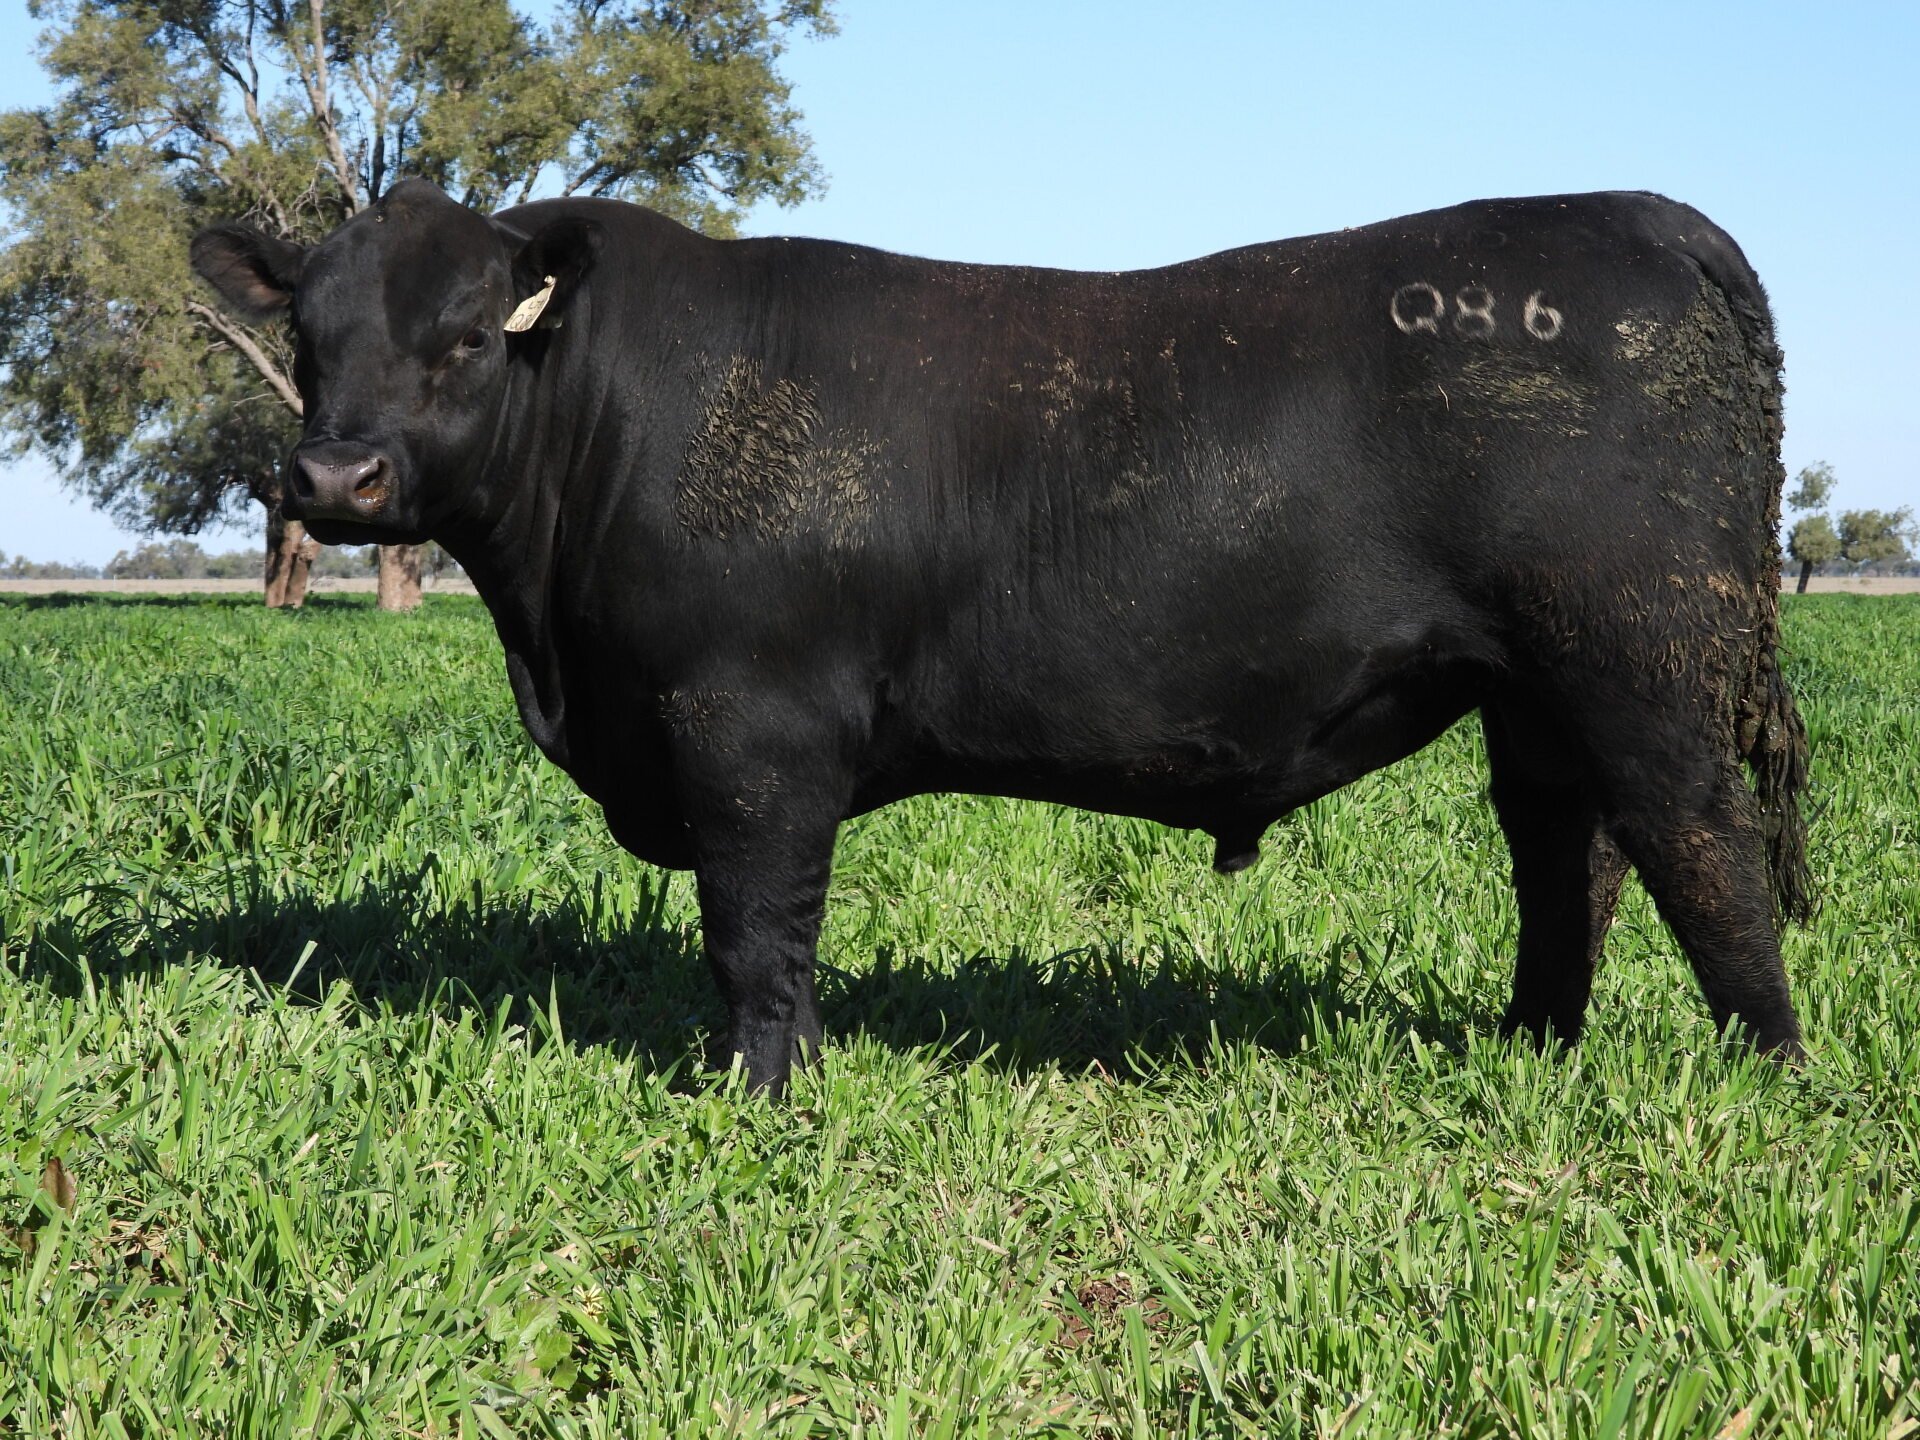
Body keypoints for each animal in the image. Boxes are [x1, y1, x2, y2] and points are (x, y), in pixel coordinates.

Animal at [191, 181, 1812, 1096]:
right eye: (314, 342)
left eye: (469, 337)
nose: (335, 478)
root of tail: (1654, 220)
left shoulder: (751, 731)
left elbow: (754, 930)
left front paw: (755, 1097)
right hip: (1533, 690)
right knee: (1566, 855)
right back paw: (1535, 1043)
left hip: (1642, 656)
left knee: (1700, 845)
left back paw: (1771, 1073)